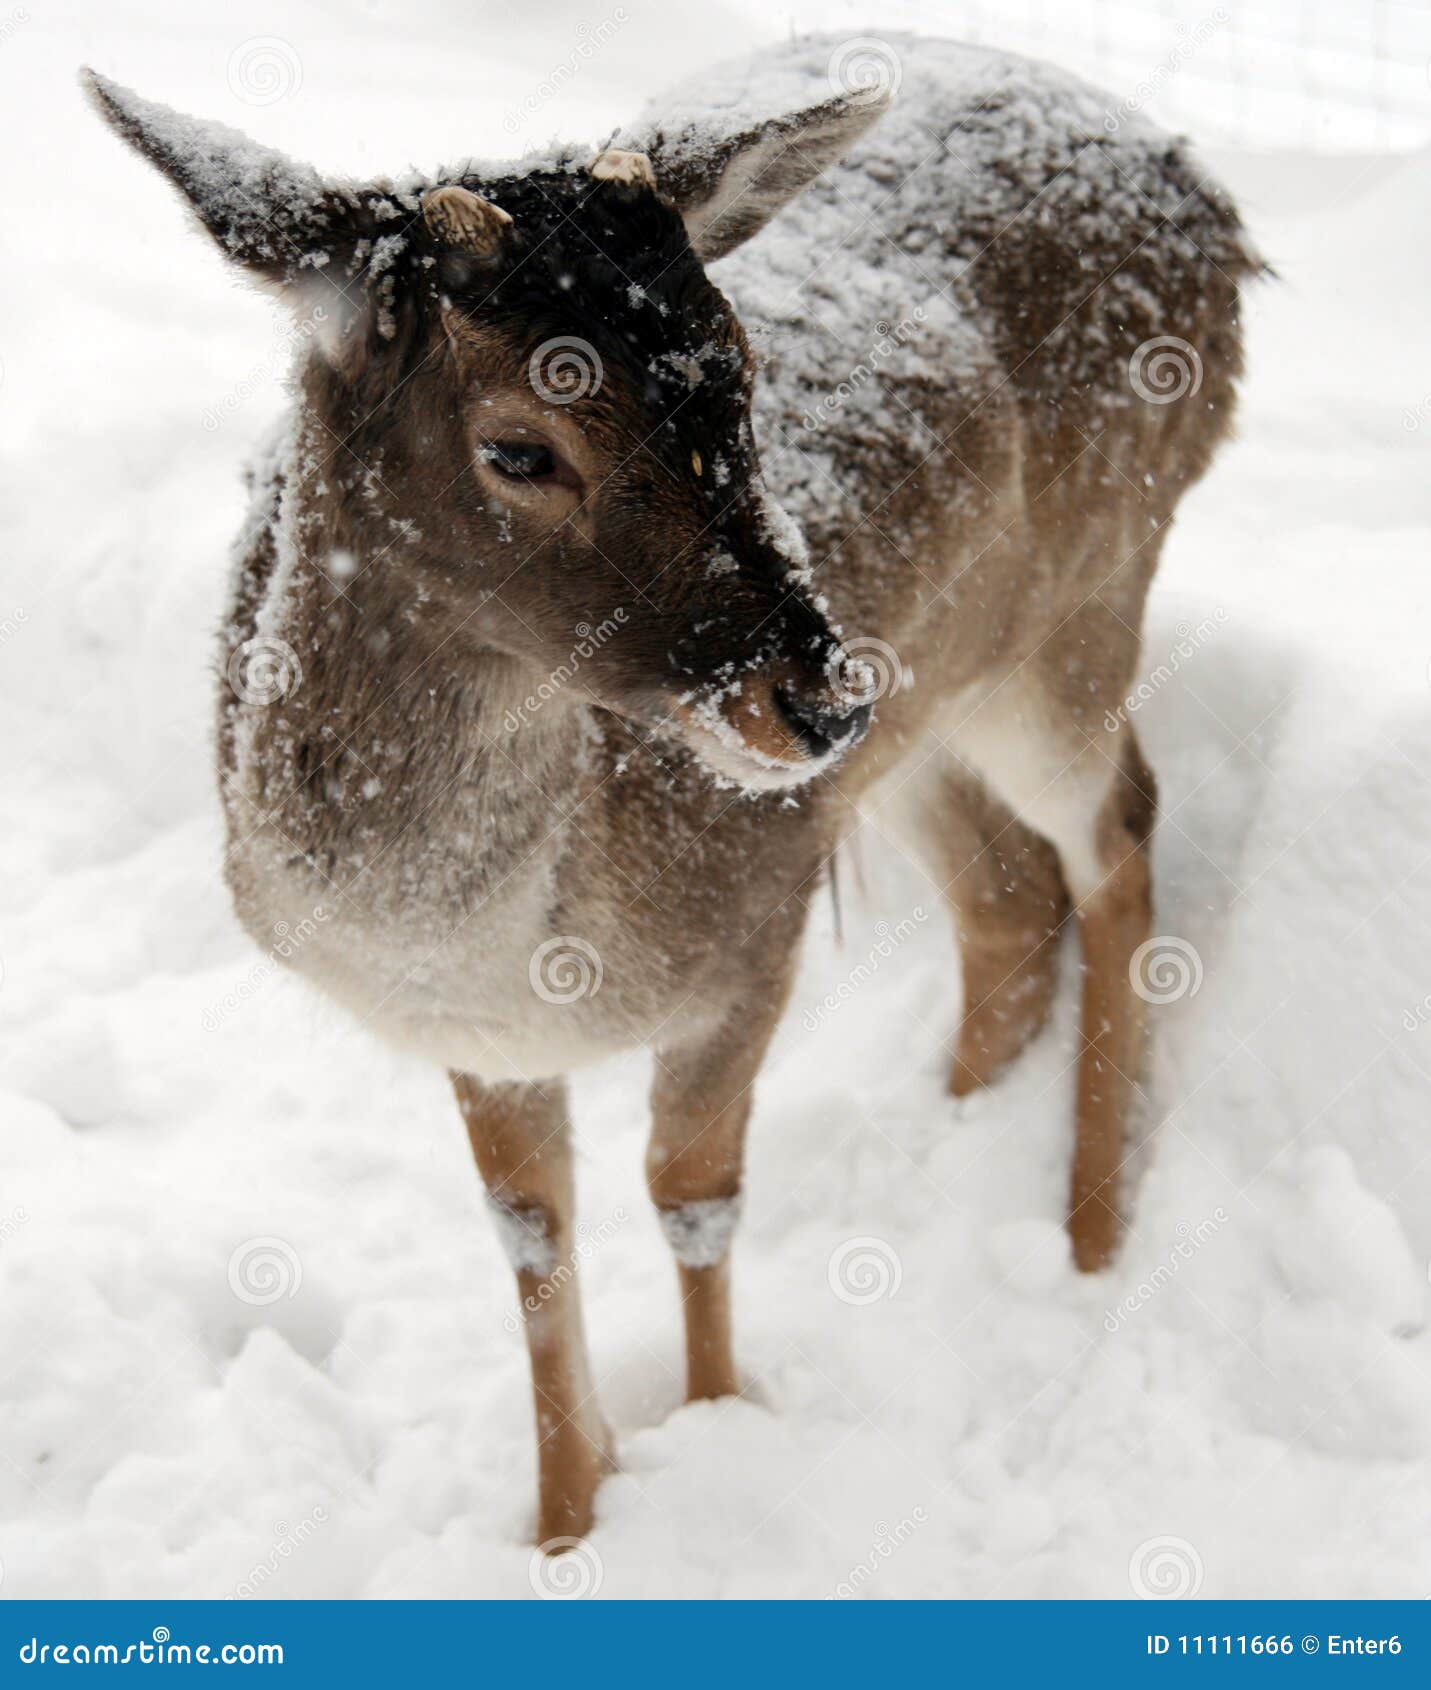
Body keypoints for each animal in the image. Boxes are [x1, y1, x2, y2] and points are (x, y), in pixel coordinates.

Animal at [85, 32, 1257, 1548]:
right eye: (519, 445)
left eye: (744, 378)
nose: (819, 694)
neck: (484, 936)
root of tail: (1203, 198)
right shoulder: (483, 1030)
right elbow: (534, 1230)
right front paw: (562, 1522)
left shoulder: (752, 922)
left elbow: (690, 1194)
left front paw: (712, 1438)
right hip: (915, 728)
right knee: (1005, 895)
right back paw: (961, 1140)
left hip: (1076, 608)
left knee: (1116, 834)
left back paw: (1086, 1239)